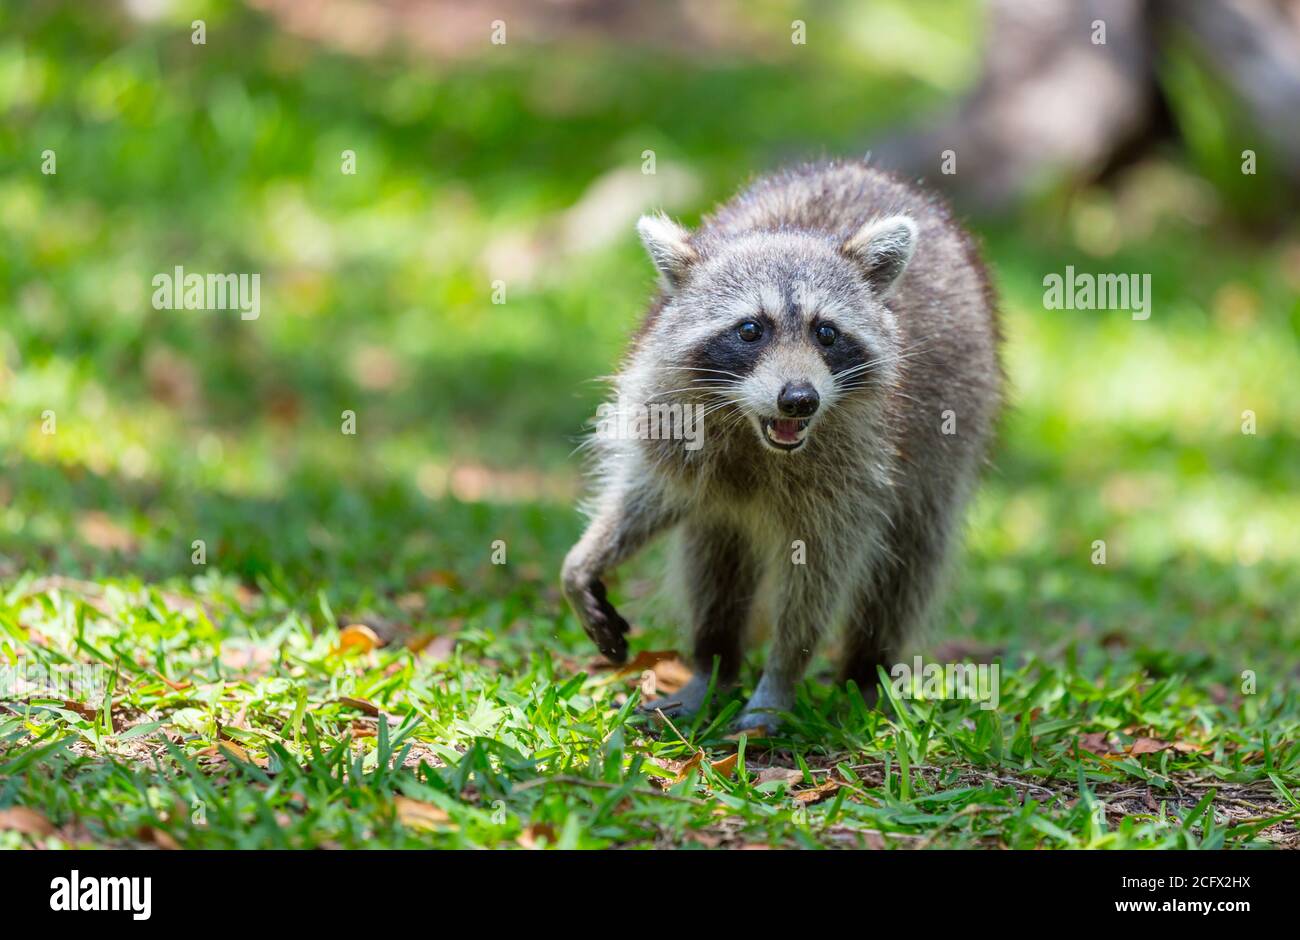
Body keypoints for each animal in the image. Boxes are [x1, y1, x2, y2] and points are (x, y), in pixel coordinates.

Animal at [562, 159, 1003, 731]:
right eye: (751, 329)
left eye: (826, 333)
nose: (799, 399)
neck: (756, 432)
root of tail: (860, 167)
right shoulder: (666, 413)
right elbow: (647, 496)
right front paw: (585, 559)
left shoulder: (858, 469)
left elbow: (819, 575)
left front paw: (781, 677)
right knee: (711, 561)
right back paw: (712, 663)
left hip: (949, 433)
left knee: (907, 564)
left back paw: (866, 672)